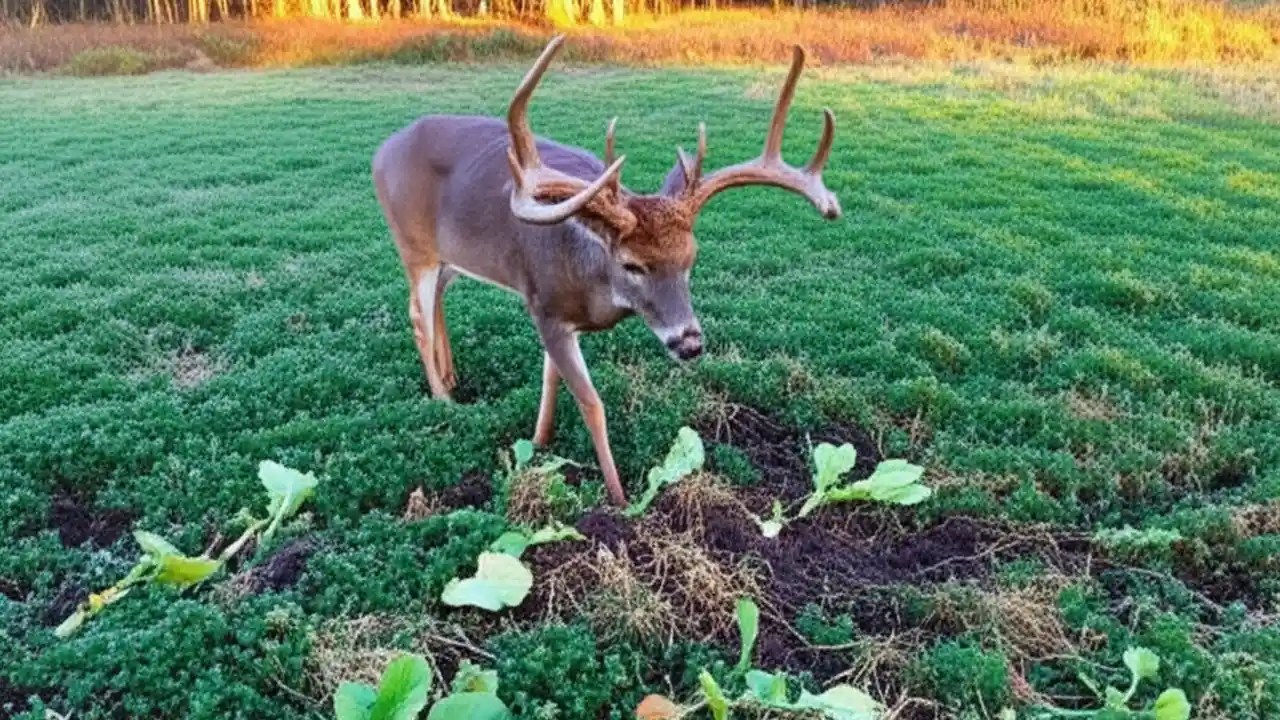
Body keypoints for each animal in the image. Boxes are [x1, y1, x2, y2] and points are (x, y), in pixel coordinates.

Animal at [371, 35, 840, 508]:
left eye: (691, 259)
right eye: (632, 264)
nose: (689, 343)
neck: (591, 284)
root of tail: (382, 151)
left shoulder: (555, 314)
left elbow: (551, 377)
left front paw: (539, 441)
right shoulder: (542, 305)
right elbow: (591, 402)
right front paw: (619, 498)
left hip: (450, 256)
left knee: (438, 299)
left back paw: (451, 376)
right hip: (412, 244)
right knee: (417, 316)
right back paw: (443, 398)